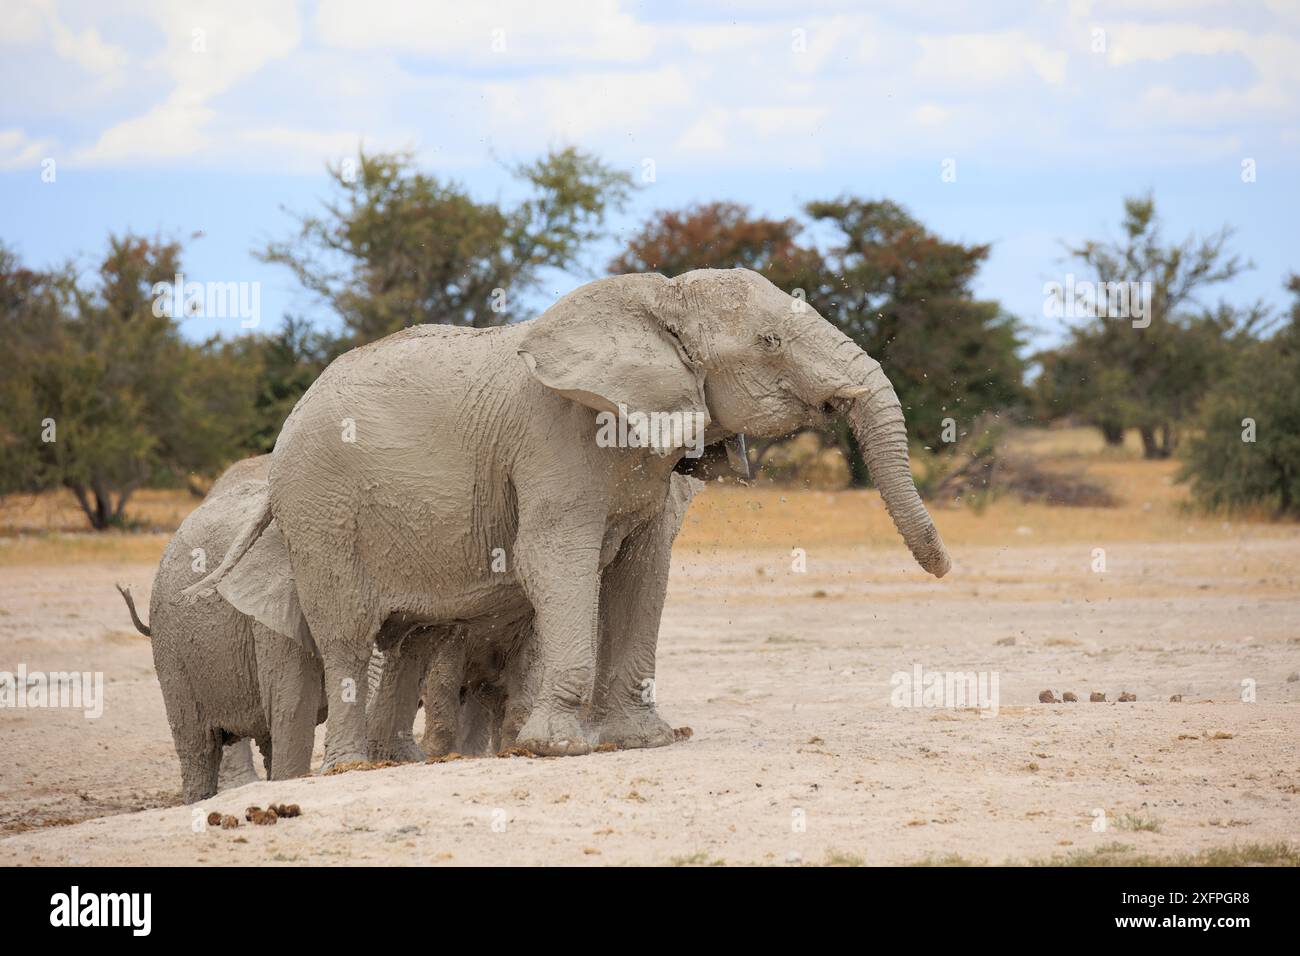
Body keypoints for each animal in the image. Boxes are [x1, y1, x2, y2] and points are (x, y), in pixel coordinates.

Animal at [186, 268, 950, 764]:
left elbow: (644, 572)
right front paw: (558, 747)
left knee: (413, 639)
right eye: (769, 342)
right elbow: (555, 561)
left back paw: (394, 762)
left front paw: (641, 740)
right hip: (321, 510)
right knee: (347, 633)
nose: (942, 567)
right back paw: (349, 768)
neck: (656, 298)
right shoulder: (554, 438)